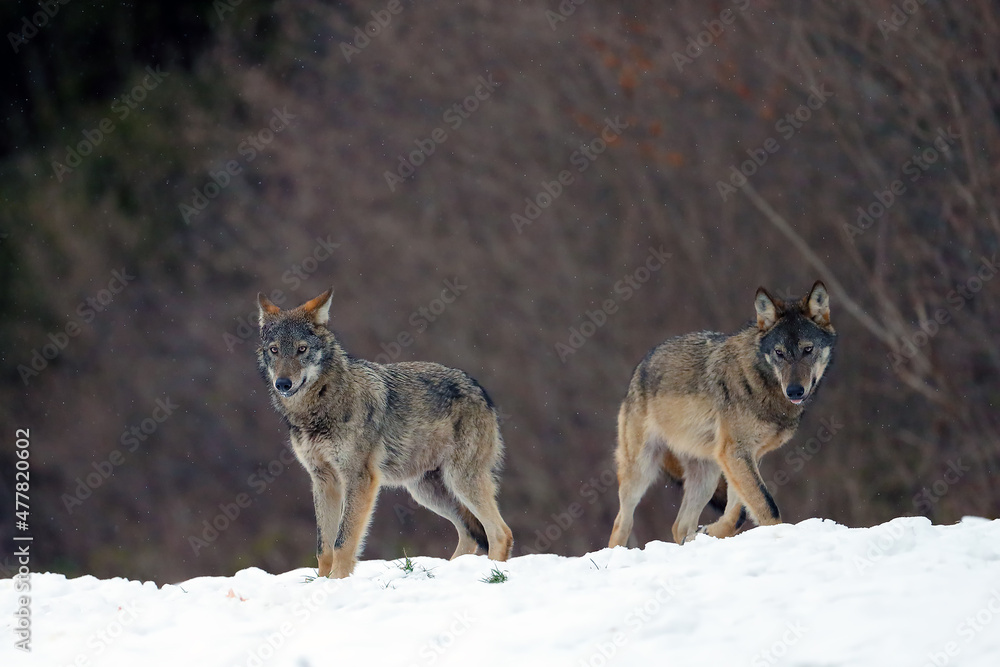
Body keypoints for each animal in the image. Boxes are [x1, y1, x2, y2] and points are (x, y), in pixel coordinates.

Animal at [257, 287, 513, 578]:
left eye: (302, 349)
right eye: (274, 350)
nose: (283, 384)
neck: (321, 404)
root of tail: (480, 390)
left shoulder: (359, 479)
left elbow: (343, 543)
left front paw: (338, 582)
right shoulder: (323, 480)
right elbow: (324, 547)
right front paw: (324, 581)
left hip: (460, 480)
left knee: (501, 533)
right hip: (428, 491)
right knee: (470, 534)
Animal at [608, 281, 836, 548]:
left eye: (808, 349)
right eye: (779, 353)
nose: (795, 390)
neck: (760, 380)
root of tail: (643, 363)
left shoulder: (746, 456)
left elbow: (738, 514)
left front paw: (709, 532)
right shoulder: (735, 452)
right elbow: (767, 506)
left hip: (707, 476)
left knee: (679, 525)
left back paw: (691, 539)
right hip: (641, 470)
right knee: (621, 522)